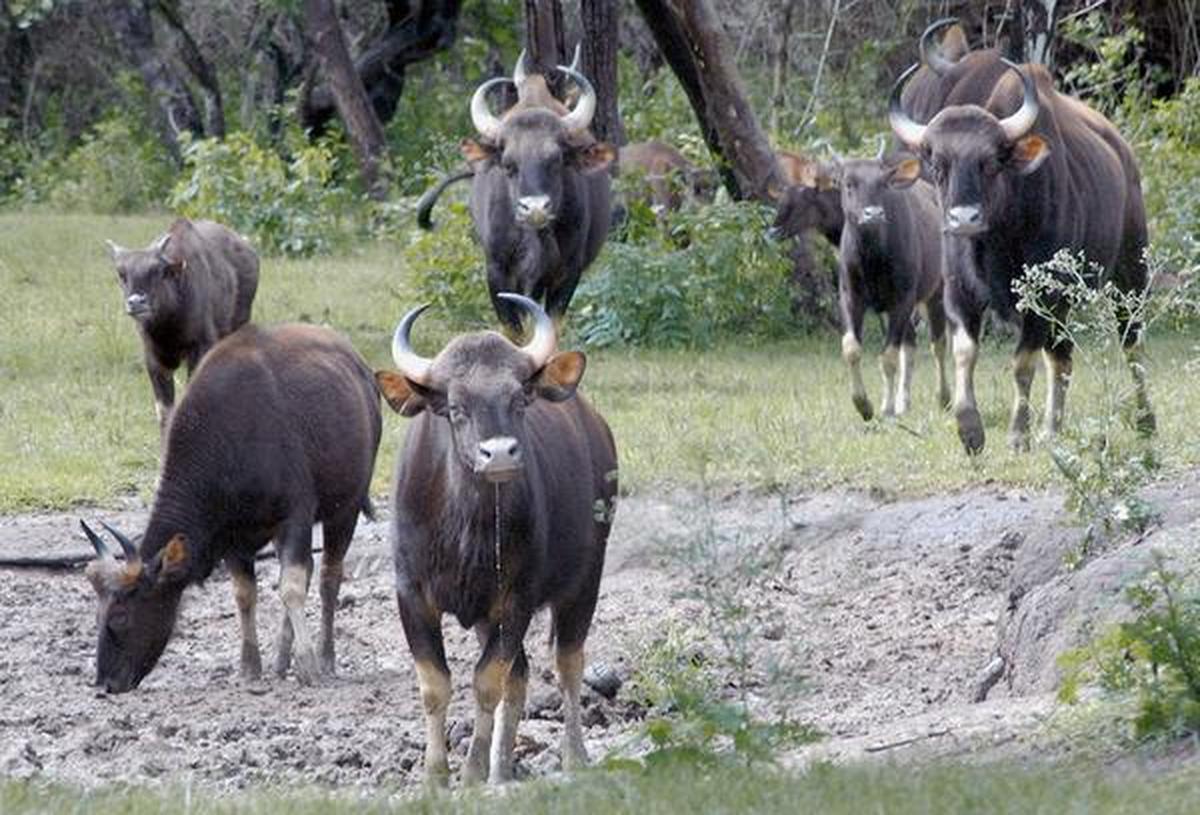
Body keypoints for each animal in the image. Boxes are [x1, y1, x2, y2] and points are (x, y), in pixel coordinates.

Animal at [83, 323, 382, 693]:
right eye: (98, 615)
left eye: (120, 616)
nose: (105, 683)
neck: (228, 444)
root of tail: (361, 368)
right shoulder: (229, 535)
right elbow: (245, 594)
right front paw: (250, 665)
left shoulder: (295, 516)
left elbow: (291, 587)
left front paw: (308, 664)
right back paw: (281, 659)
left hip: (346, 508)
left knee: (329, 577)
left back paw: (325, 656)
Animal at [106, 218, 259, 434]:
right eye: (122, 274)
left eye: (157, 271)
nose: (136, 302)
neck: (169, 326)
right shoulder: (153, 359)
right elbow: (164, 412)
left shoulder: (201, 348)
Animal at [375, 294, 617, 786]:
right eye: (455, 407)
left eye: (519, 398)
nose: (500, 453)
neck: (467, 531)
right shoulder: (411, 595)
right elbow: (435, 685)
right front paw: (436, 774)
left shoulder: (515, 601)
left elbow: (487, 681)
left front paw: (469, 773)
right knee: (521, 675)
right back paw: (502, 766)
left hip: (585, 582)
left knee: (568, 664)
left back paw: (572, 756)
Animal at [889, 48, 1154, 454]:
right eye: (937, 165)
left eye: (990, 162)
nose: (964, 218)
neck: (996, 242)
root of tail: (1125, 157)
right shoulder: (959, 293)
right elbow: (964, 352)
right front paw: (969, 428)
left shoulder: (1040, 297)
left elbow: (1022, 364)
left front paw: (1017, 435)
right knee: (1062, 359)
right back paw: (1052, 428)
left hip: (1129, 276)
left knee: (1131, 344)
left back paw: (1145, 421)